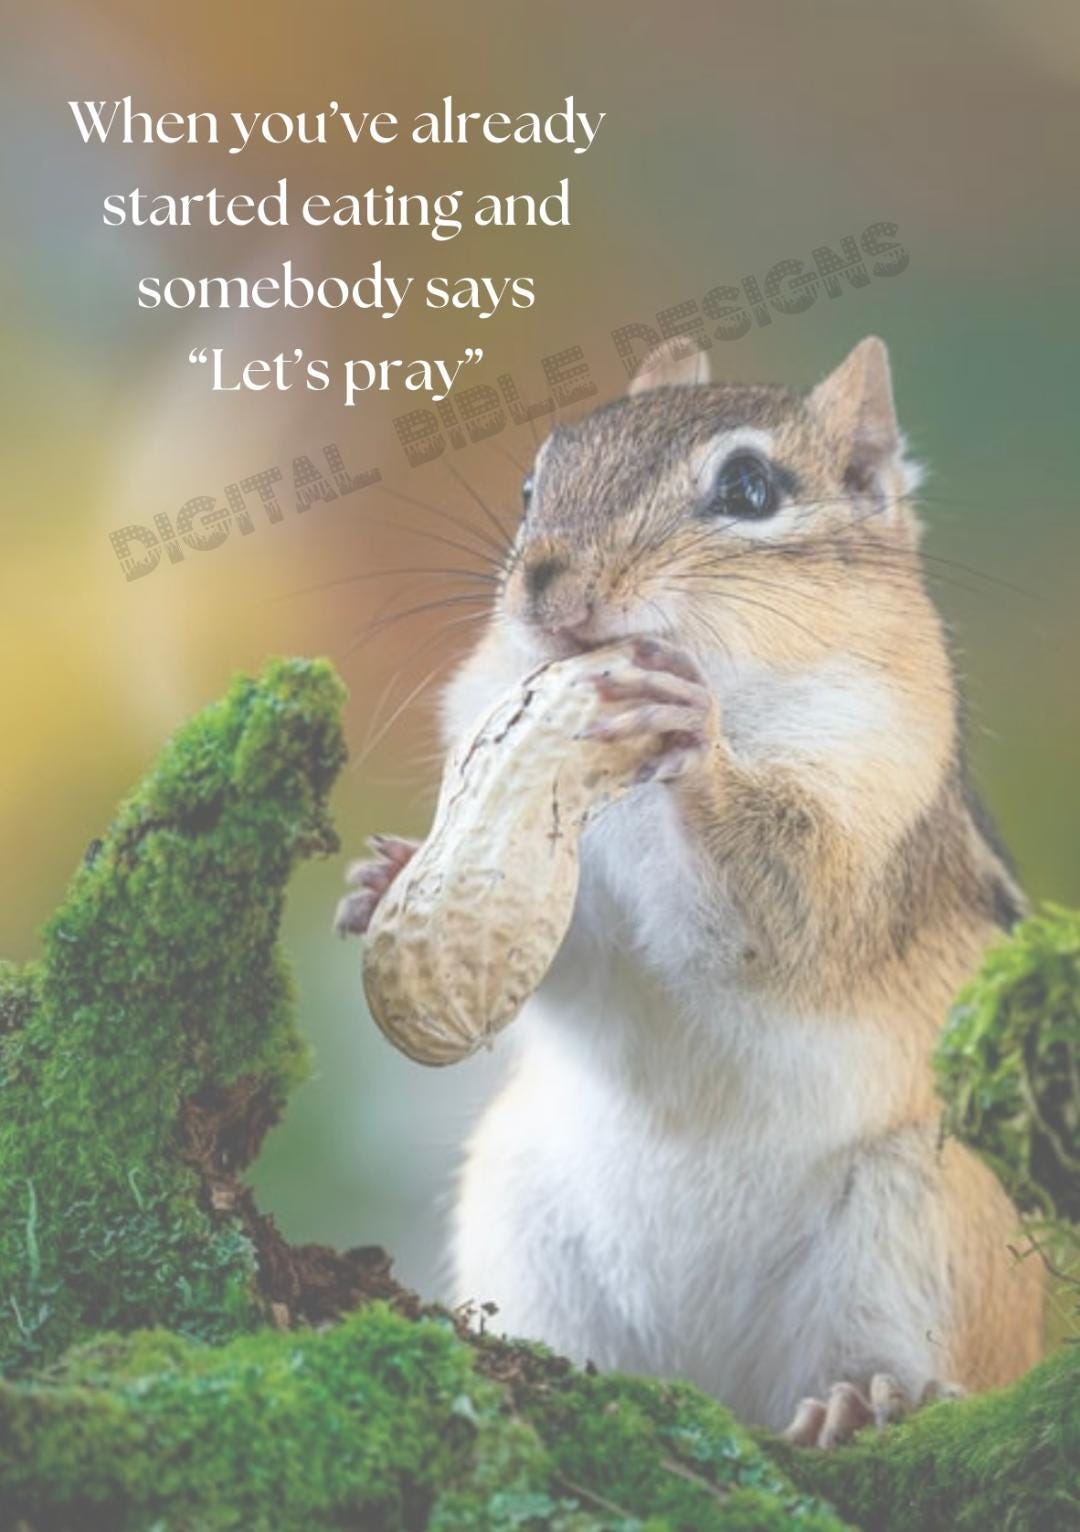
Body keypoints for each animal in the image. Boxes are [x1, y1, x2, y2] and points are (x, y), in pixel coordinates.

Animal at [339, 336, 1044, 1446]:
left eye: (751, 488)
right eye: (536, 479)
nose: (547, 588)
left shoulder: (870, 800)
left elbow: (787, 914)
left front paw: (697, 739)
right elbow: (562, 959)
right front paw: (386, 880)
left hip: (922, 1211)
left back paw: (859, 1397)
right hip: (518, 1203)